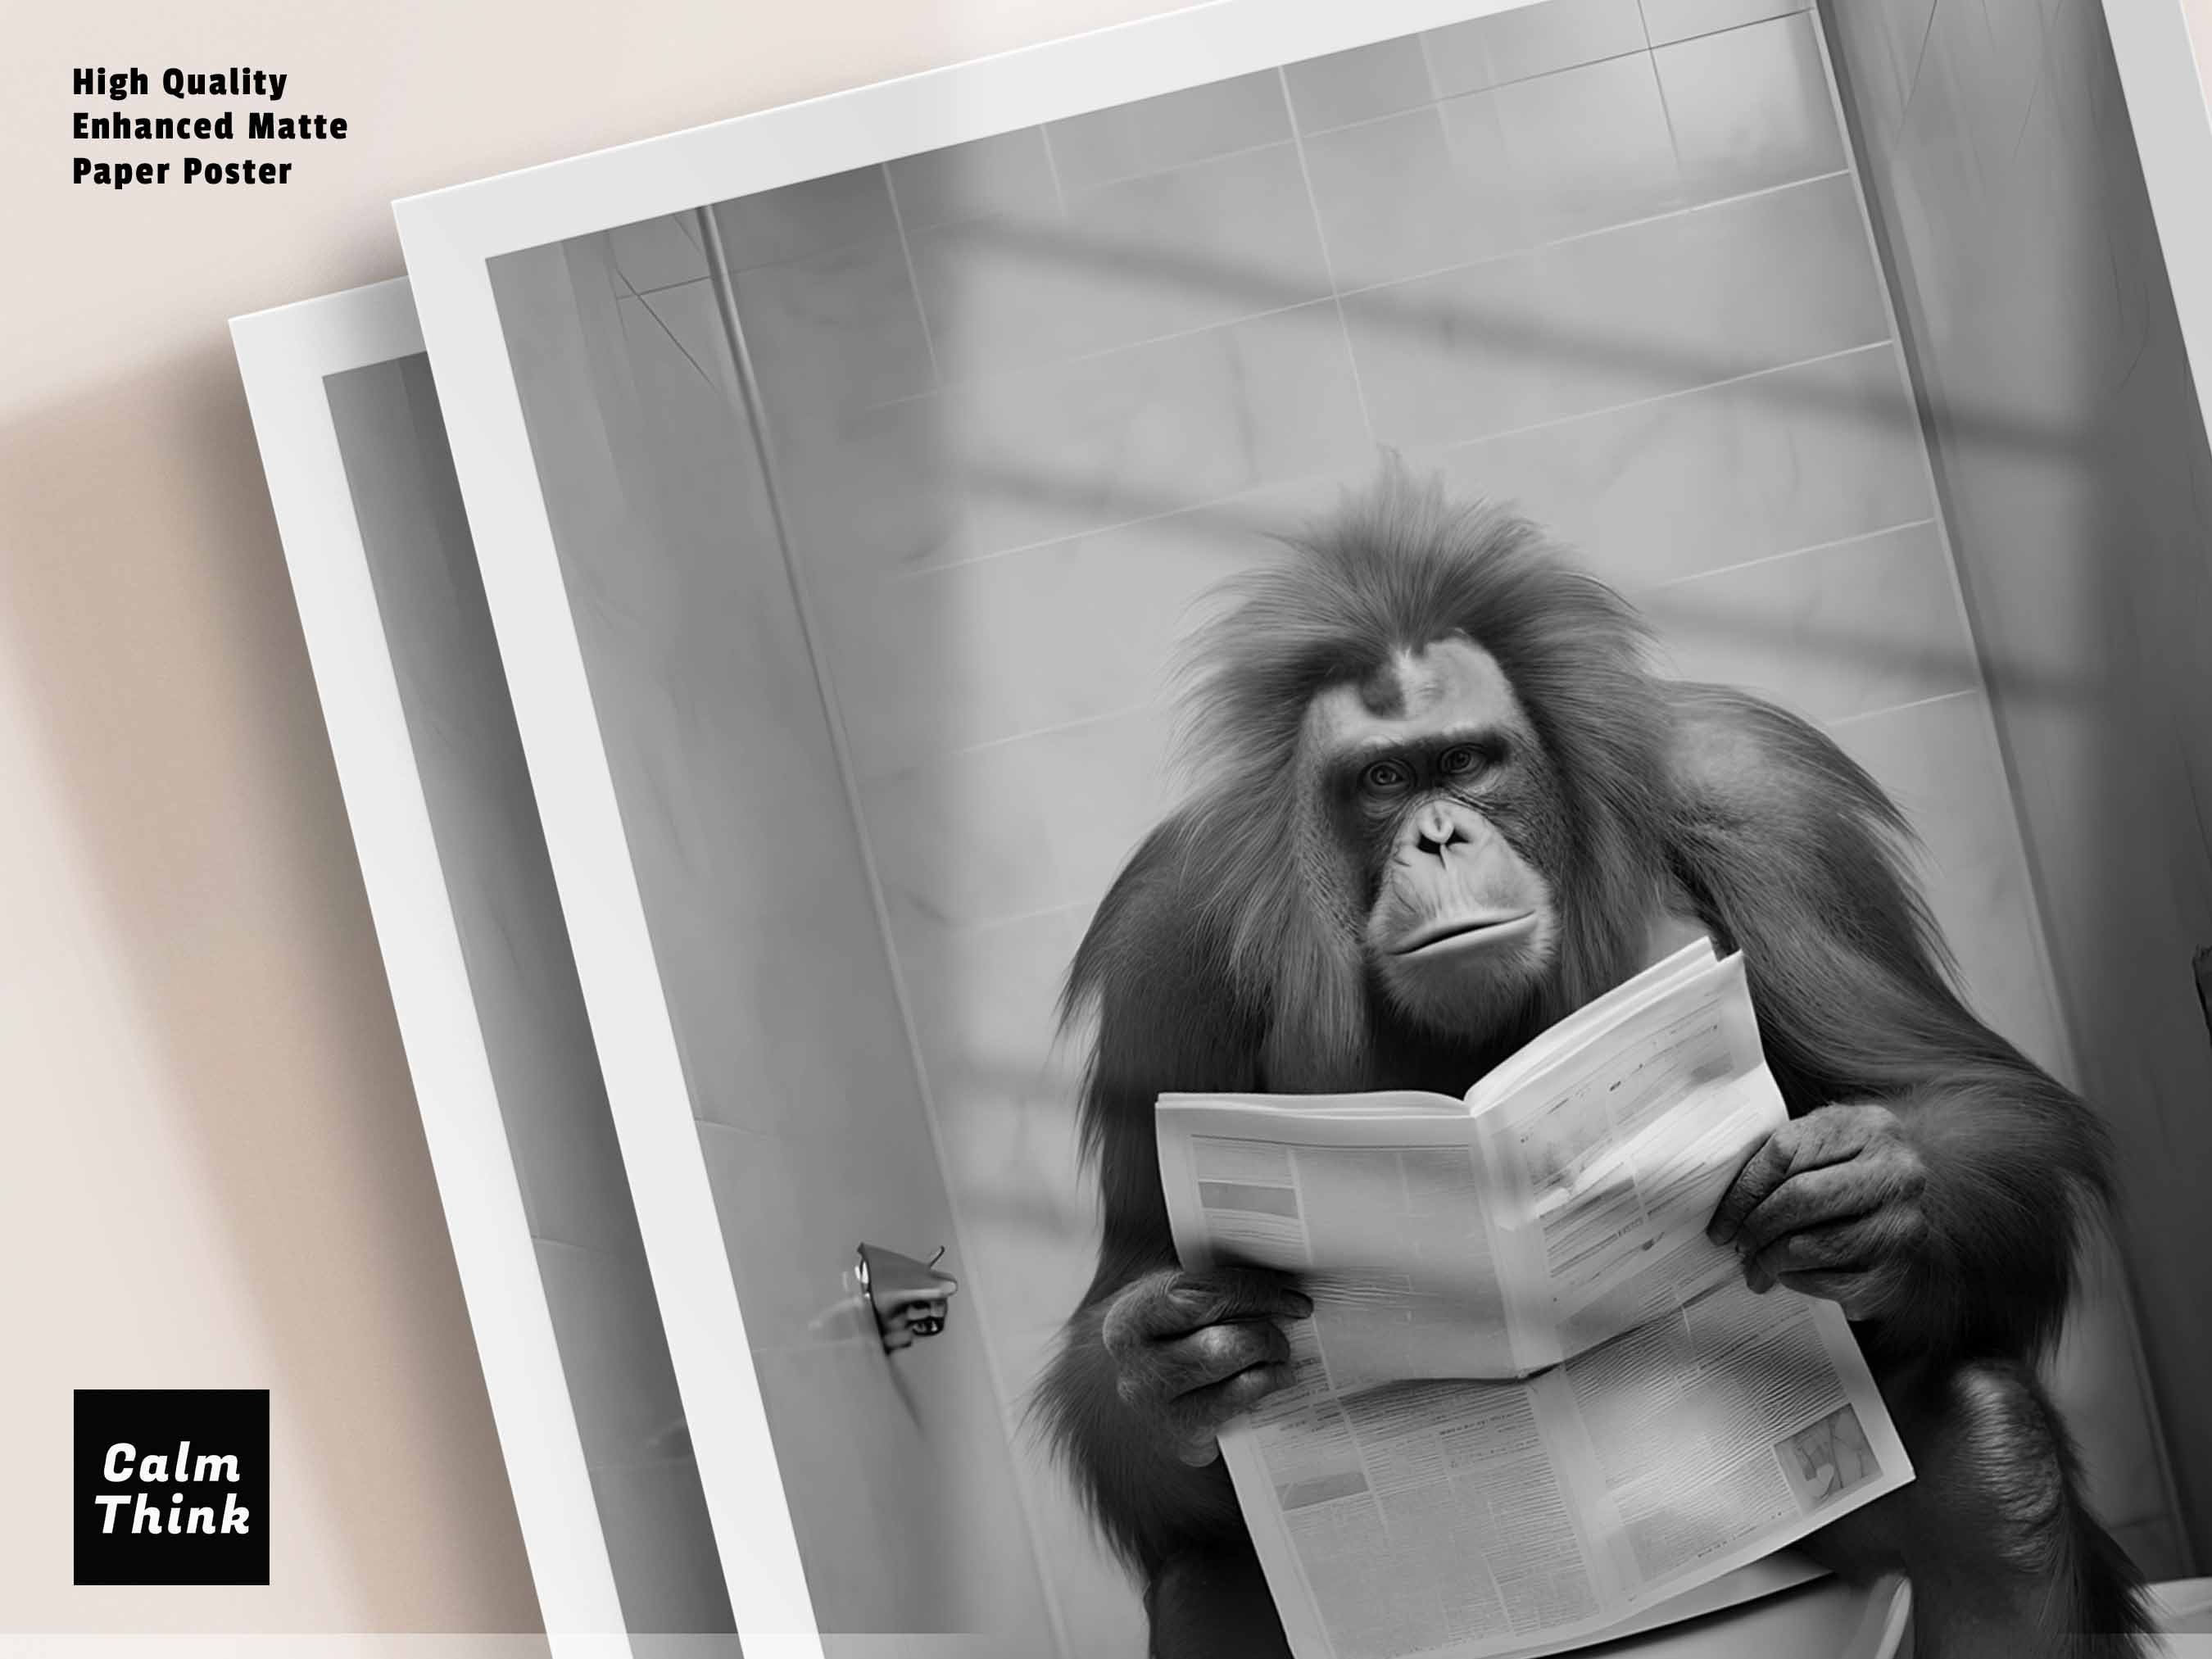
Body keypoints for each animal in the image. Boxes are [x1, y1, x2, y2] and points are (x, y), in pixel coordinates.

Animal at [1032, 473, 2151, 1658]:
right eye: (1383, 777)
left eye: (1465, 760)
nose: (1438, 838)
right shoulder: (1168, 944)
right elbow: (1132, 1284)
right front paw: (1174, 1356)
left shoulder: (1766, 808)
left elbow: (1947, 1087)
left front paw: (1862, 1195)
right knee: (1214, 1576)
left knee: (1984, 1464)